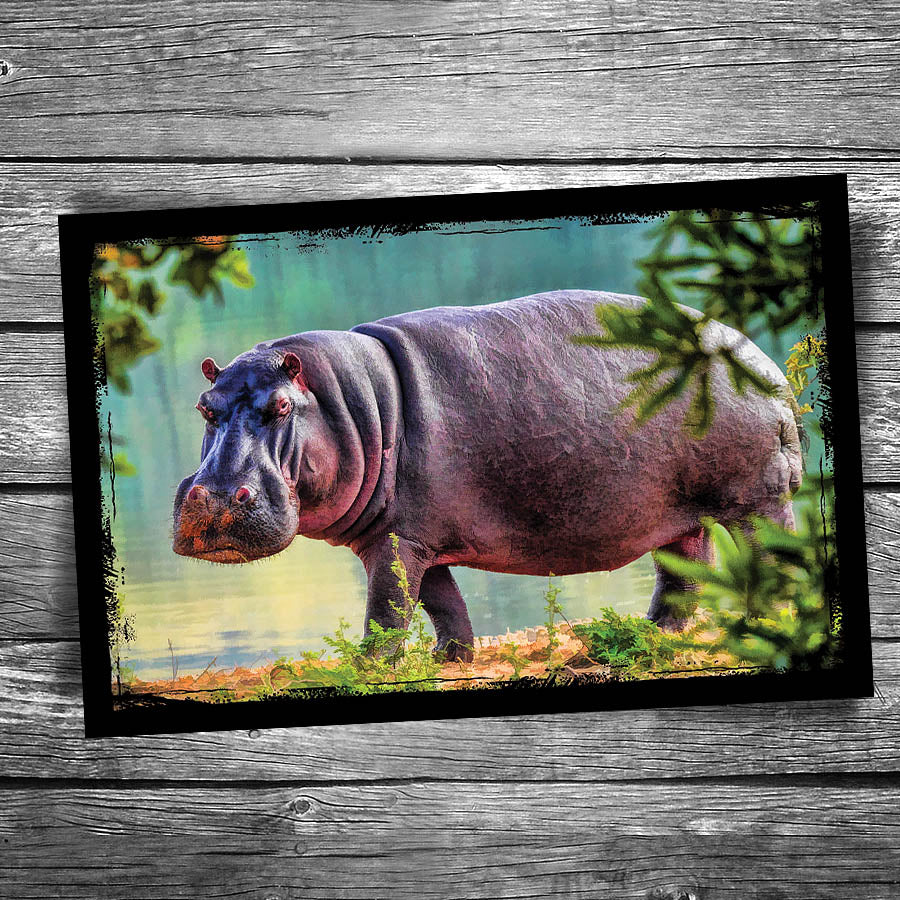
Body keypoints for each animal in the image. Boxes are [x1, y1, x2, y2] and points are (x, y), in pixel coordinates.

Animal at [173, 290, 803, 661]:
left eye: (281, 406)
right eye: (204, 406)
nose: (214, 499)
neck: (347, 404)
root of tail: (766, 364)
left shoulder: (397, 540)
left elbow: (388, 610)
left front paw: (365, 668)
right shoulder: (407, 534)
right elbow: (440, 602)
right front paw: (450, 660)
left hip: (757, 498)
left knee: (771, 558)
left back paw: (761, 624)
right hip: (679, 513)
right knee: (684, 574)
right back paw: (653, 636)